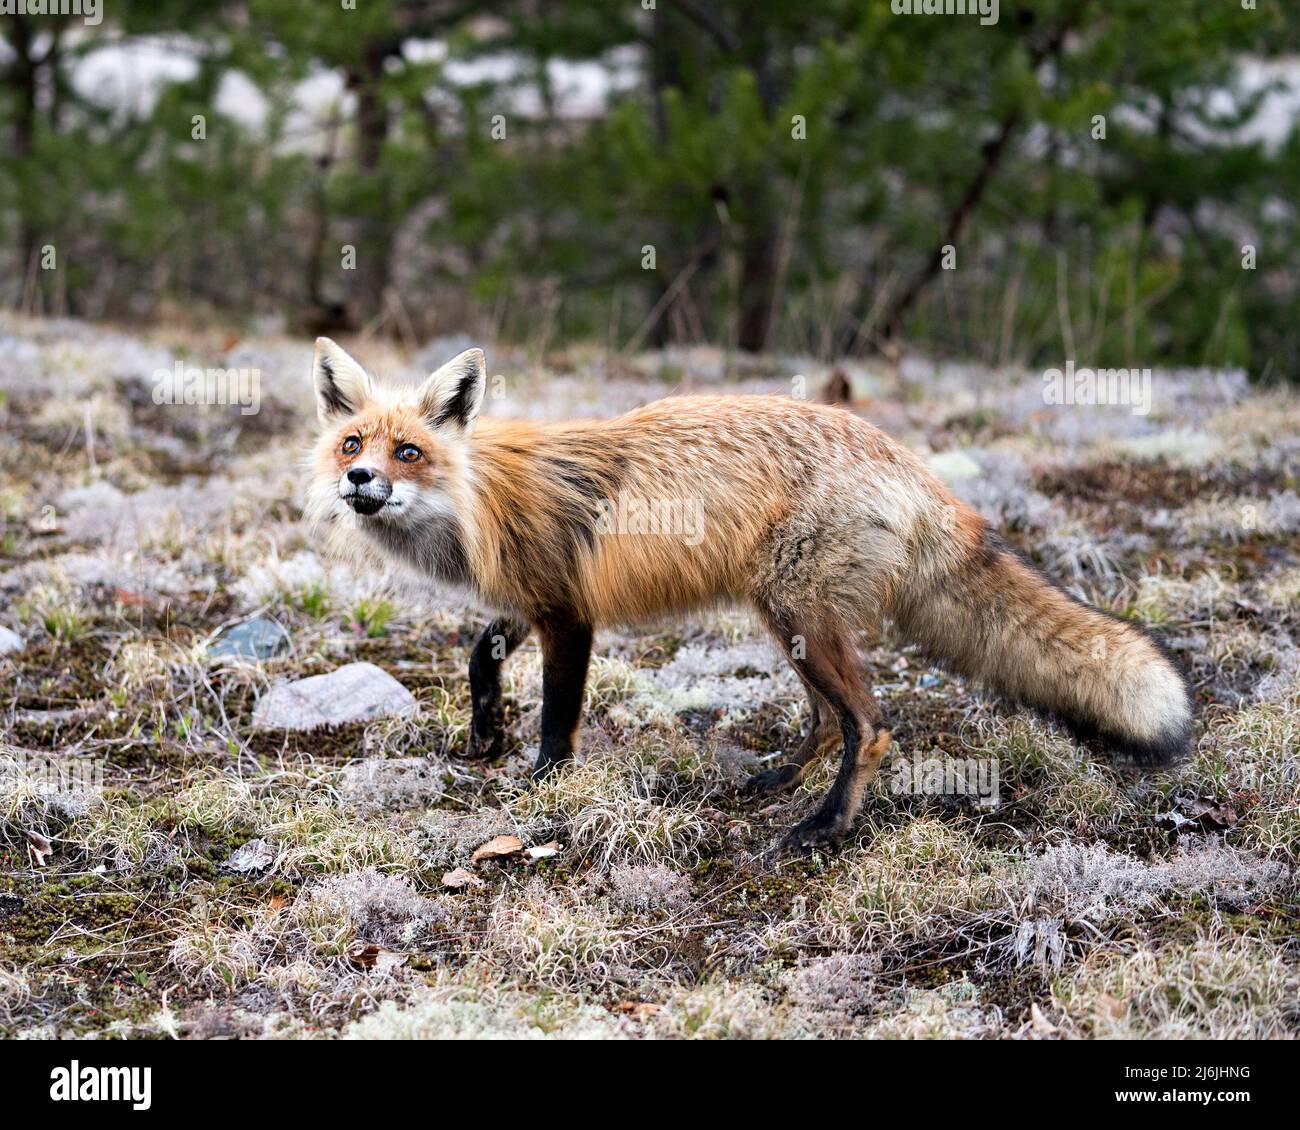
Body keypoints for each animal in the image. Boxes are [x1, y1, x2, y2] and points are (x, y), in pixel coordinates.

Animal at [304, 337, 1193, 847]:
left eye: (409, 452)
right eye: (353, 442)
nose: (360, 480)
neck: (477, 502)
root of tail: (915, 466)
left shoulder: (569, 614)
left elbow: (558, 717)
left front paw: (541, 782)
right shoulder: (533, 601)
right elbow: (479, 654)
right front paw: (486, 730)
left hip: (800, 615)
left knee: (869, 725)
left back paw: (825, 827)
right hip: (787, 621)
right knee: (827, 720)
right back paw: (777, 782)